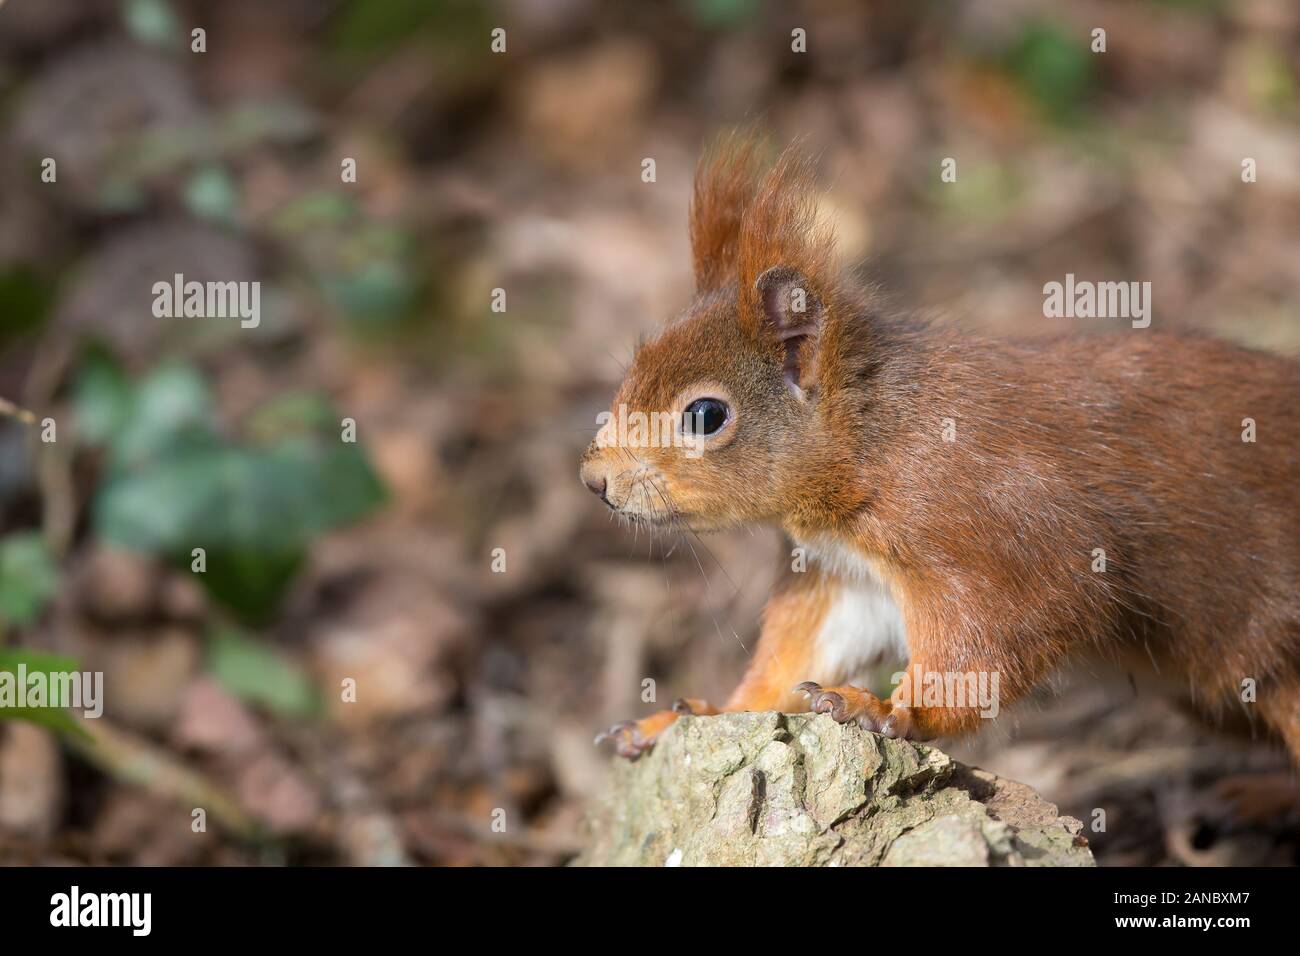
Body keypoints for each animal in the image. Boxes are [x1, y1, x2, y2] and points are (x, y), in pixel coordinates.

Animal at [581, 133, 1300, 767]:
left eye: (706, 415)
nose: (594, 481)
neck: (872, 438)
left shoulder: (991, 528)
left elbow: (1002, 636)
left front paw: (890, 710)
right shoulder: (846, 575)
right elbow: (798, 655)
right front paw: (701, 712)